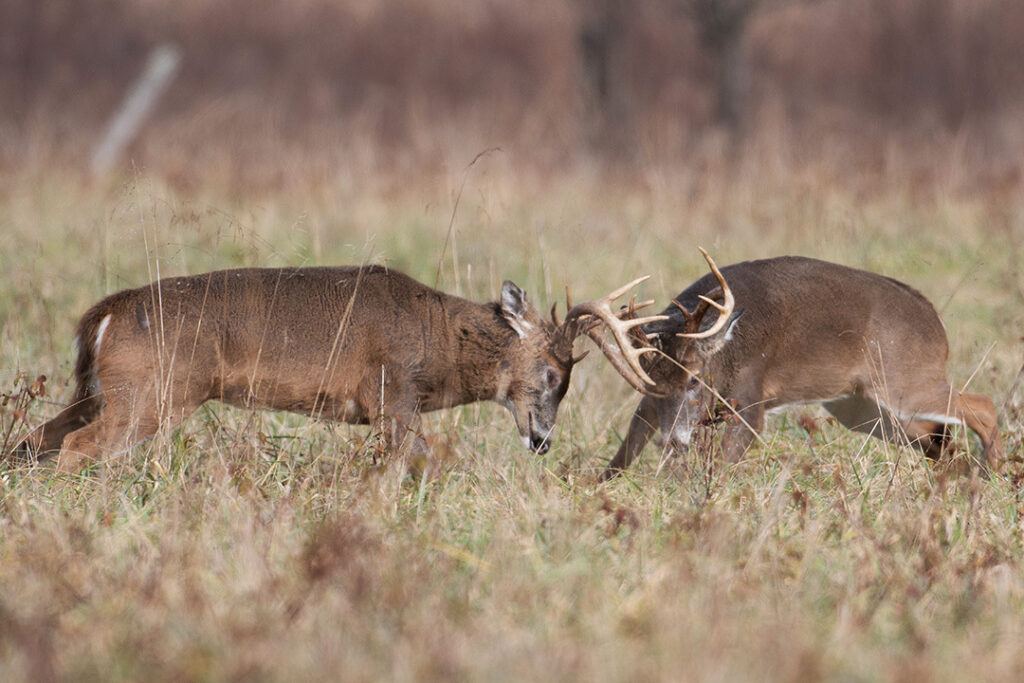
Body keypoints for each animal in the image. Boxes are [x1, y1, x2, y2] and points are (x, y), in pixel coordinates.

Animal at [9, 264, 646, 475]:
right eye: (552, 375)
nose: (542, 439)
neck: (437, 339)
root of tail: (103, 315)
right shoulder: (392, 394)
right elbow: (417, 463)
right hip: (151, 393)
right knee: (77, 448)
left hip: (95, 391)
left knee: (32, 440)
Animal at [568, 250, 1005, 480]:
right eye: (650, 384)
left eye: (694, 379)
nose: (673, 441)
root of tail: (937, 322)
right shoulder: (651, 407)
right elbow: (625, 449)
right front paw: (595, 485)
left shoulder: (750, 400)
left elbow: (725, 463)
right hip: (862, 407)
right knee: (937, 439)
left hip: (903, 380)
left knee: (983, 406)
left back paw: (991, 474)